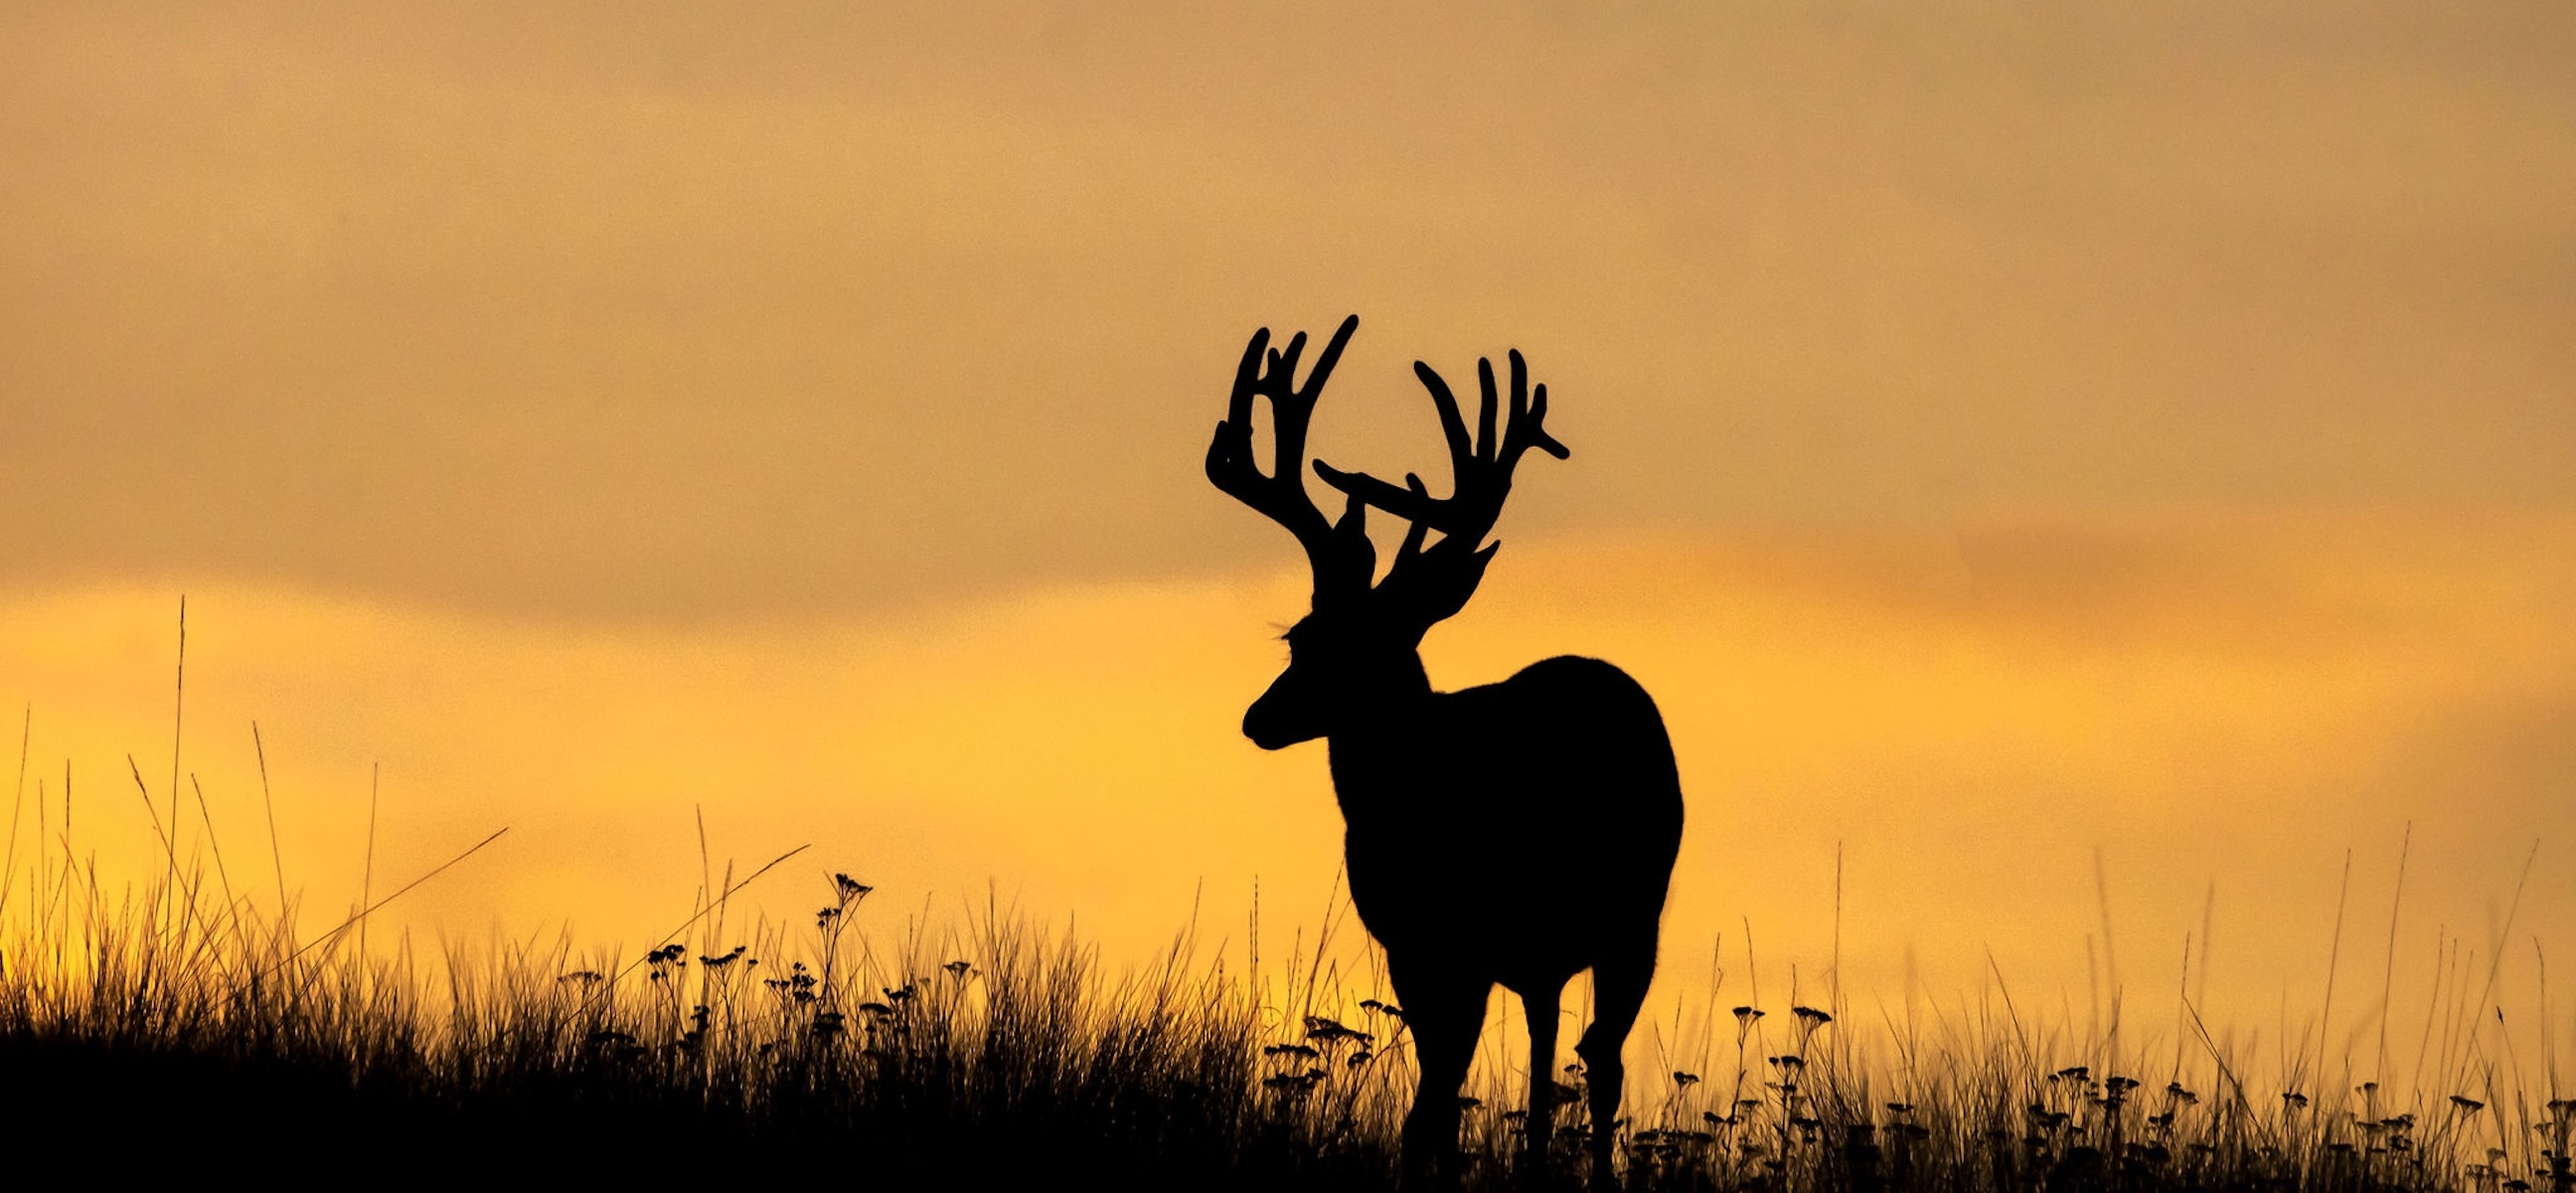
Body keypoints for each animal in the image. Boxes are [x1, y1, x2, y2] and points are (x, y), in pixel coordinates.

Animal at [1205, 314, 1685, 1188]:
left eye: (1373, 651)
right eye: (1302, 635)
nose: (1260, 718)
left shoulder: (1466, 945)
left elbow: (1438, 1097)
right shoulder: (1414, 946)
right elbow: (1433, 1101)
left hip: (1635, 916)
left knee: (1600, 1056)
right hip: (1544, 946)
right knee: (1550, 1042)